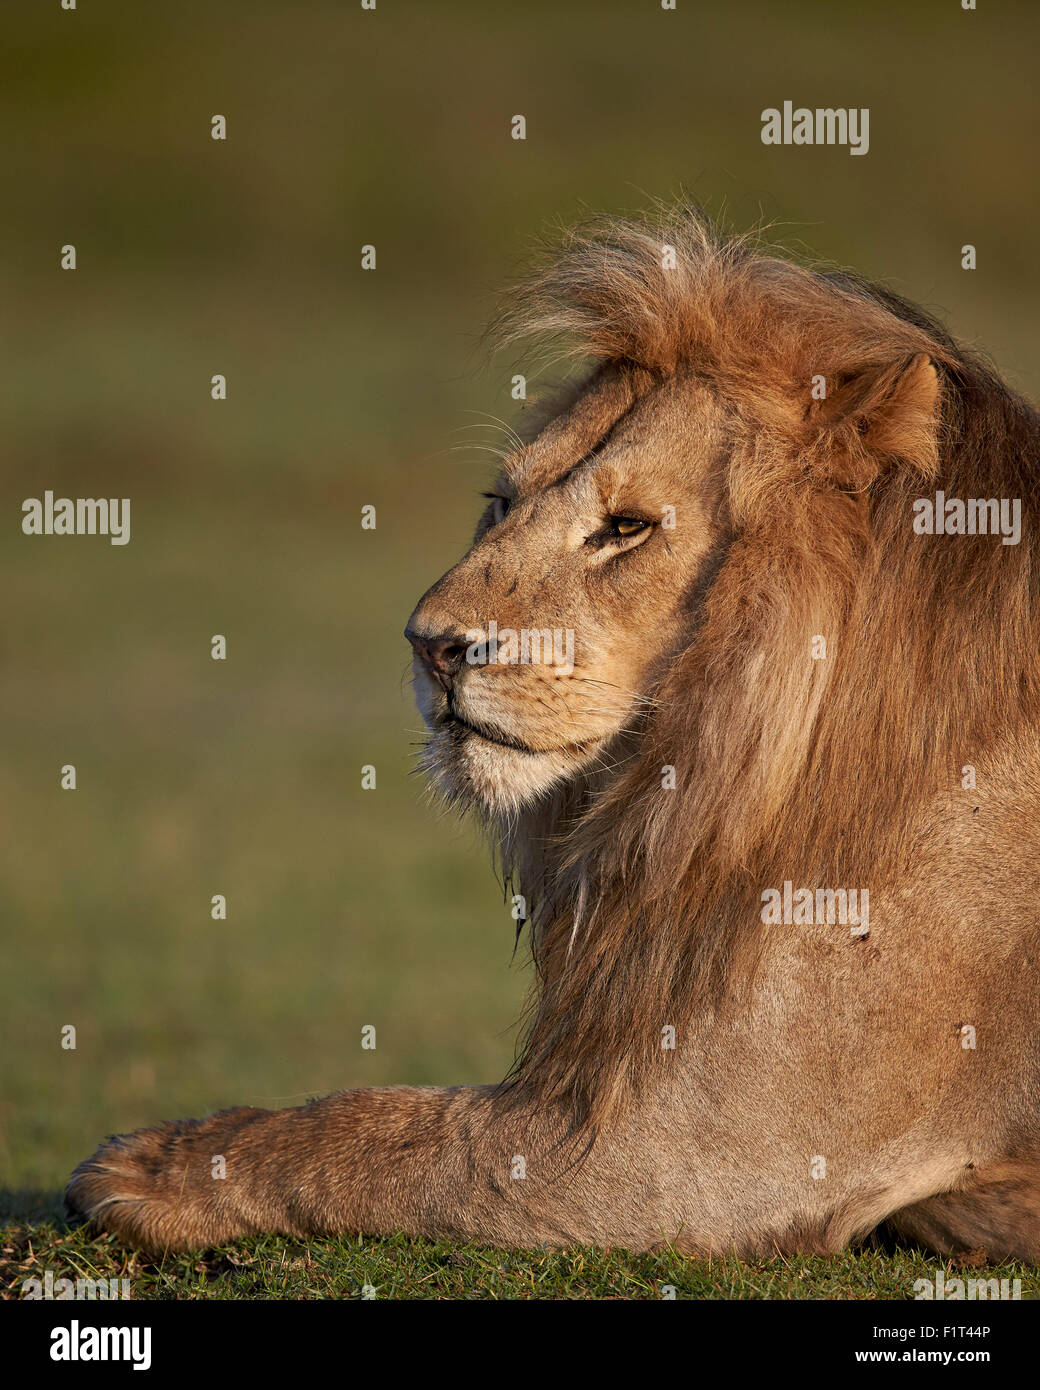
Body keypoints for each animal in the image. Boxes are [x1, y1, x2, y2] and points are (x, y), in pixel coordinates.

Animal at [68, 207, 1040, 1260]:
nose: (431, 645)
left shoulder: (707, 1149)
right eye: (501, 501)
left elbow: (389, 1131)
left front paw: (152, 1165)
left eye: (626, 527)